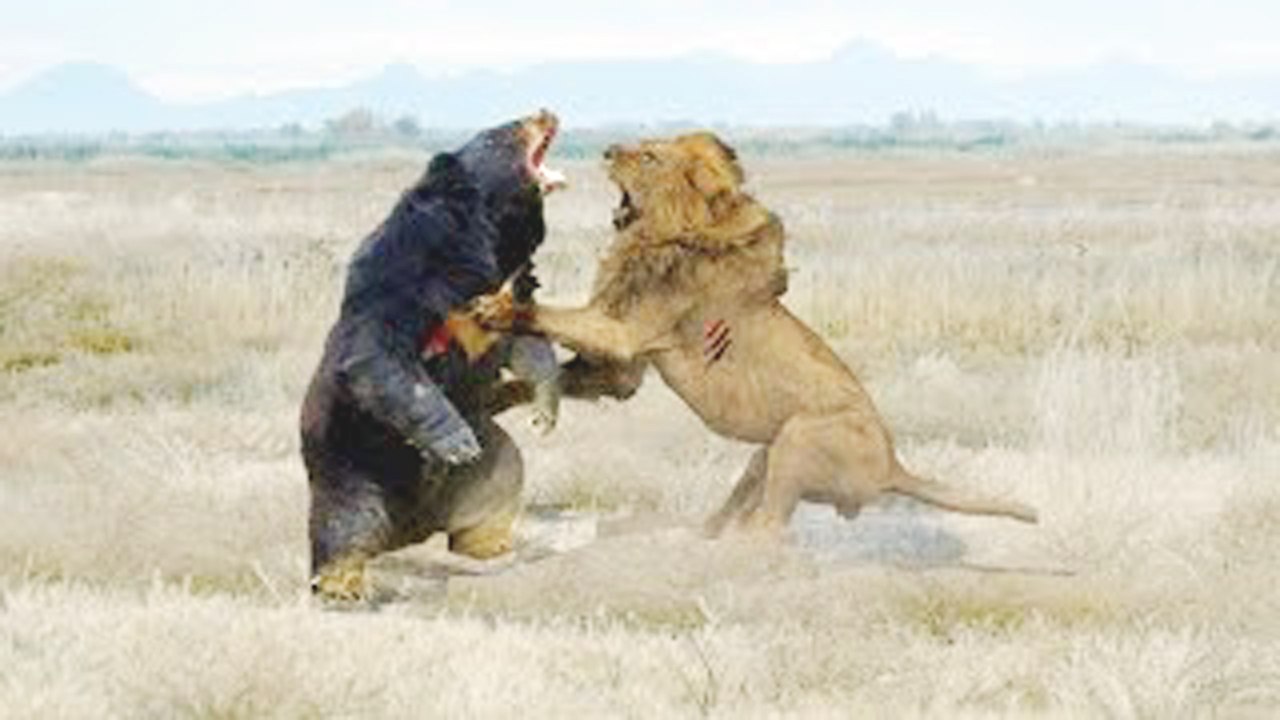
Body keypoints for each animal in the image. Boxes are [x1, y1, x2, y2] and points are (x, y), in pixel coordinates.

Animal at [300, 110, 564, 601]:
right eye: (502, 133)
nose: (546, 112)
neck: (488, 232)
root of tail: (413, 529)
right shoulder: (407, 267)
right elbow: (378, 350)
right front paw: (457, 445)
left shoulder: (503, 285)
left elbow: (526, 341)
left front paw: (544, 412)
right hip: (349, 468)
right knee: (344, 526)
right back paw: (341, 584)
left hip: (494, 463)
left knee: (503, 483)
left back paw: (491, 545)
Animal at [476, 132, 1038, 536]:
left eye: (650, 156)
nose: (609, 150)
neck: (657, 239)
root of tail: (894, 466)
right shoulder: (623, 371)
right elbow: (544, 379)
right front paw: (492, 401)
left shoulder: (625, 333)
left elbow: (551, 315)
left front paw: (496, 308)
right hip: (764, 457)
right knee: (744, 514)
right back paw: (696, 543)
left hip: (800, 440)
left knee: (771, 532)